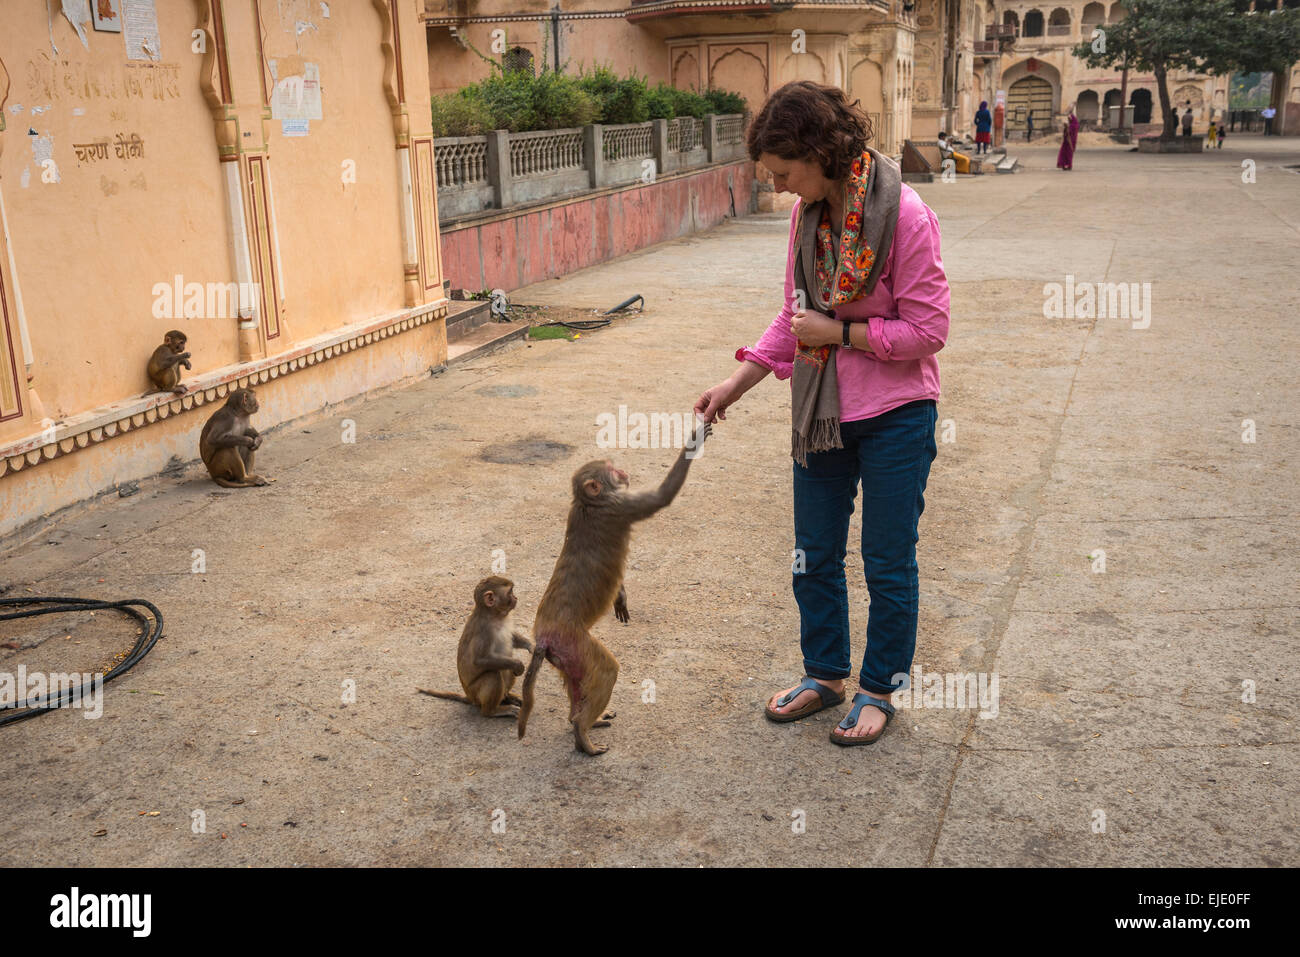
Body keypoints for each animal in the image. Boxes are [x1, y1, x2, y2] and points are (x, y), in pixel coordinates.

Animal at [418, 577, 533, 717]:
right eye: (510, 592)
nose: (516, 597)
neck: (495, 616)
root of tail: (469, 697)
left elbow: (512, 638)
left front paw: (531, 645)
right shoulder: (484, 630)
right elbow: (479, 660)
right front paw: (518, 664)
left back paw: (507, 697)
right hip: (475, 693)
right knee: (493, 674)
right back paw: (493, 711)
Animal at [517, 421, 711, 755]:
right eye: (610, 469)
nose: (622, 470)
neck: (588, 503)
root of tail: (543, 637)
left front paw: (621, 598)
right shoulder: (619, 505)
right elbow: (662, 497)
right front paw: (694, 438)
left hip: (565, 655)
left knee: (576, 681)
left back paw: (581, 721)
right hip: (574, 643)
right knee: (606, 670)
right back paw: (582, 732)